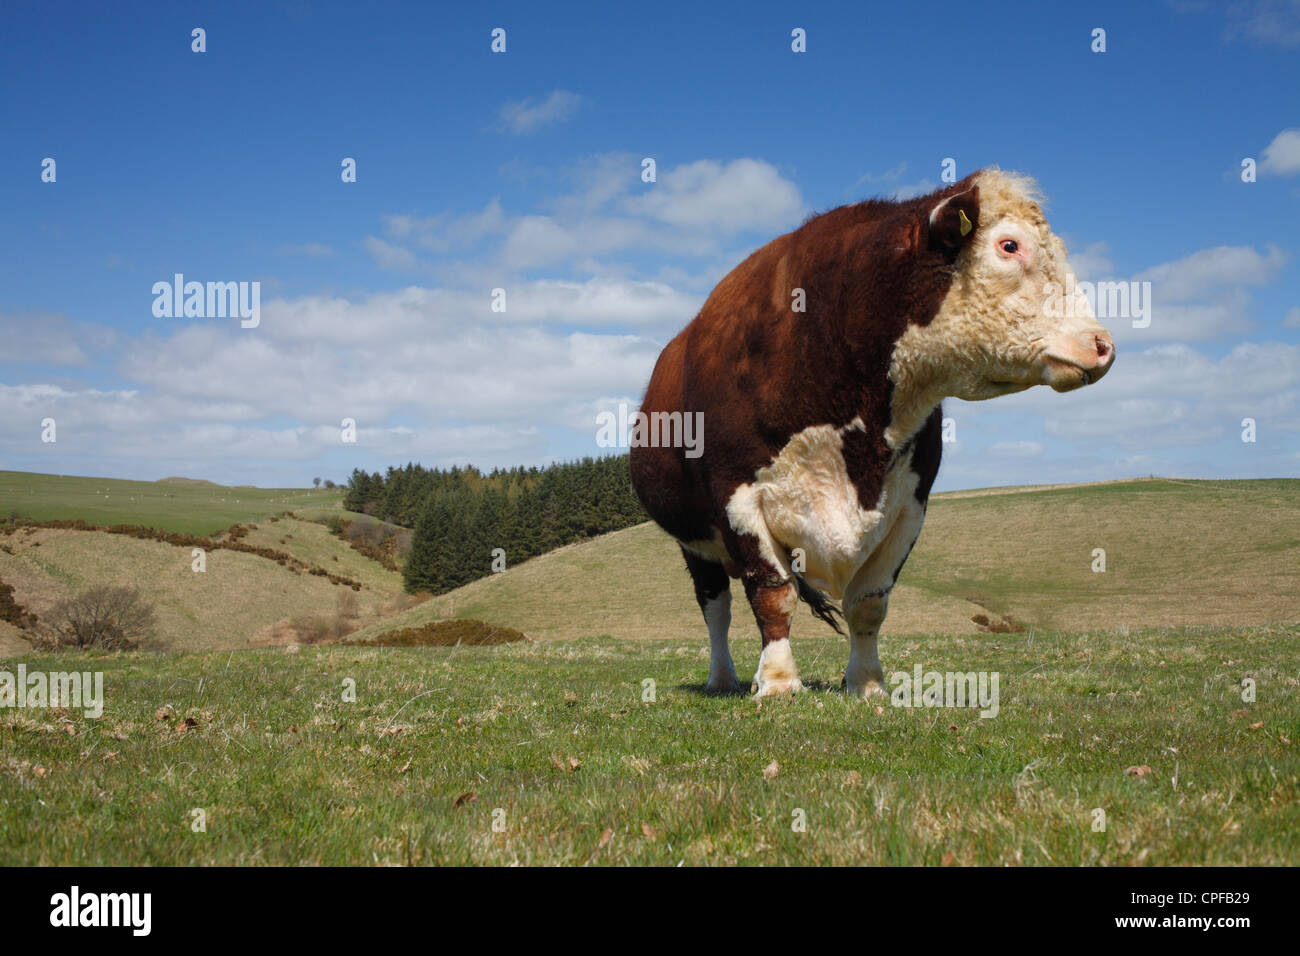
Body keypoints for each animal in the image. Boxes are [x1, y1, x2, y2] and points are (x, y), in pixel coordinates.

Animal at [628, 169, 1114, 698]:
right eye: (1010, 245)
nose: (1102, 344)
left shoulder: (909, 506)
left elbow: (868, 603)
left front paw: (866, 684)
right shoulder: (737, 497)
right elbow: (772, 593)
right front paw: (778, 683)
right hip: (695, 542)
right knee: (716, 608)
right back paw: (723, 678)